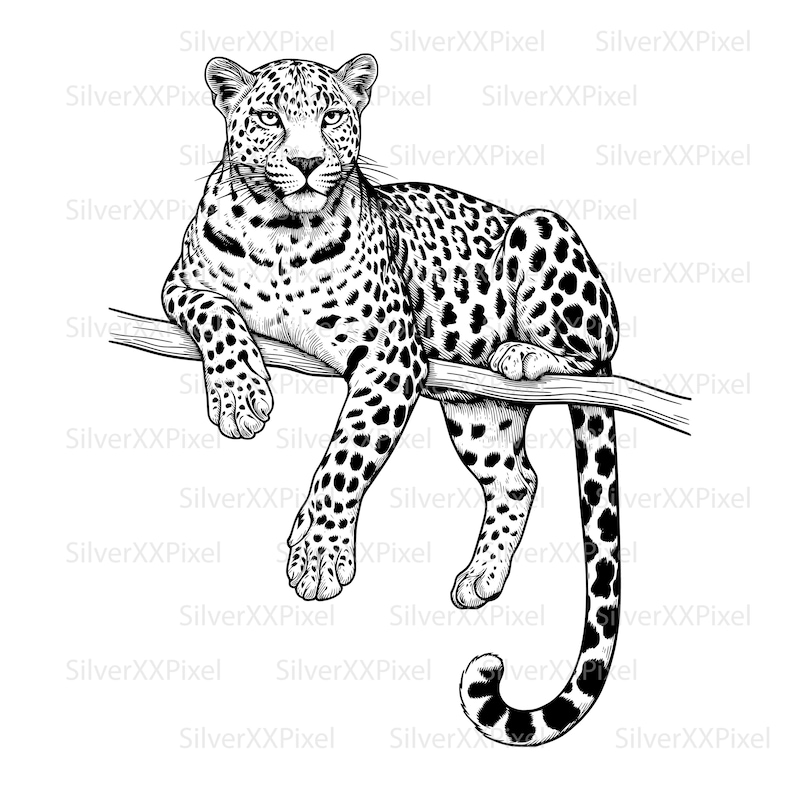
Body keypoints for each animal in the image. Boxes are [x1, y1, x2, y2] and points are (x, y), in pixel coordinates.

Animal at [162, 54, 621, 746]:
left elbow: (343, 464)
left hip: (544, 235)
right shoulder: (179, 286)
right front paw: (242, 397)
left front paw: (320, 557)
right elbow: (215, 313)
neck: (280, 233)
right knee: (517, 480)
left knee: (591, 352)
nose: (304, 161)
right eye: (269, 117)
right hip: (474, 413)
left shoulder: (390, 356)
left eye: (331, 116)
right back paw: (481, 579)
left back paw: (524, 354)